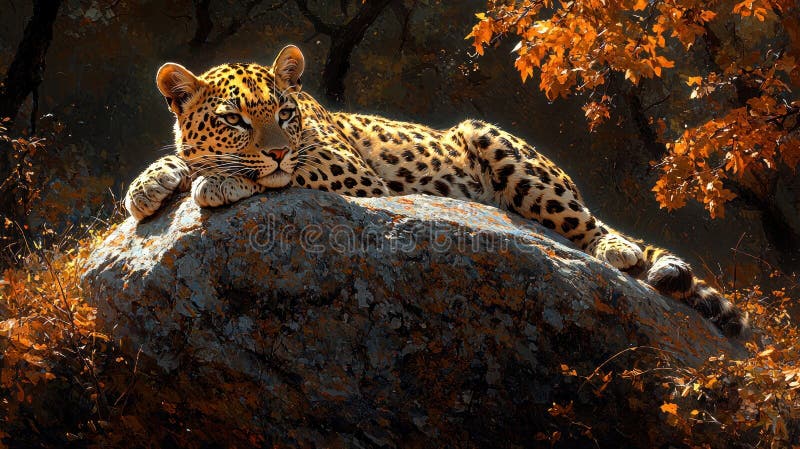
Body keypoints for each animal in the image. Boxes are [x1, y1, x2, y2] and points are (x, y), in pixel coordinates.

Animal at [124, 44, 748, 337]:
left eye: (284, 113)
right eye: (233, 119)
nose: (276, 147)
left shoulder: (352, 174)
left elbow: (283, 172)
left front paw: (217, 180)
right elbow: (180, 158)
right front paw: (151, 184)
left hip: (496, 143)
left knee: (591, 227)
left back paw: (617, 250)